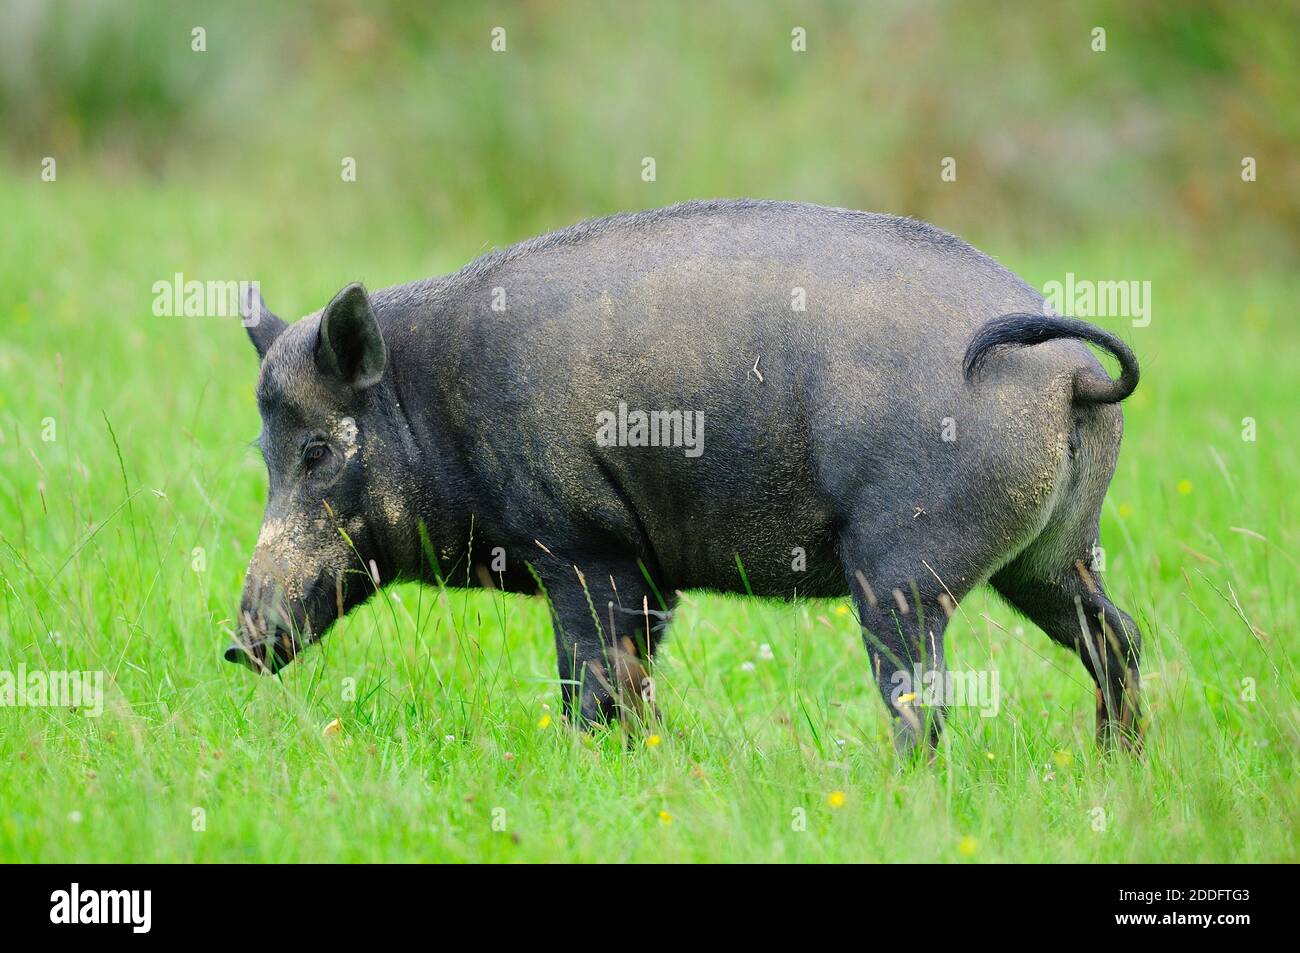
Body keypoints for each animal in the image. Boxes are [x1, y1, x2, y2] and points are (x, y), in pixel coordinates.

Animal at [227, 199, 1142, 756]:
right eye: (262, 451)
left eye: (318, 450)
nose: (238, 644)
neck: (433, 402)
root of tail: (1073, 373)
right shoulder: (648, 572)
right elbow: (633, 674)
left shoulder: (581, 546)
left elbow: (589, 678)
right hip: (1056, 553)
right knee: (1117, 635)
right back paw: (1117, 763)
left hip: (904, 565)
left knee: (923, 692)